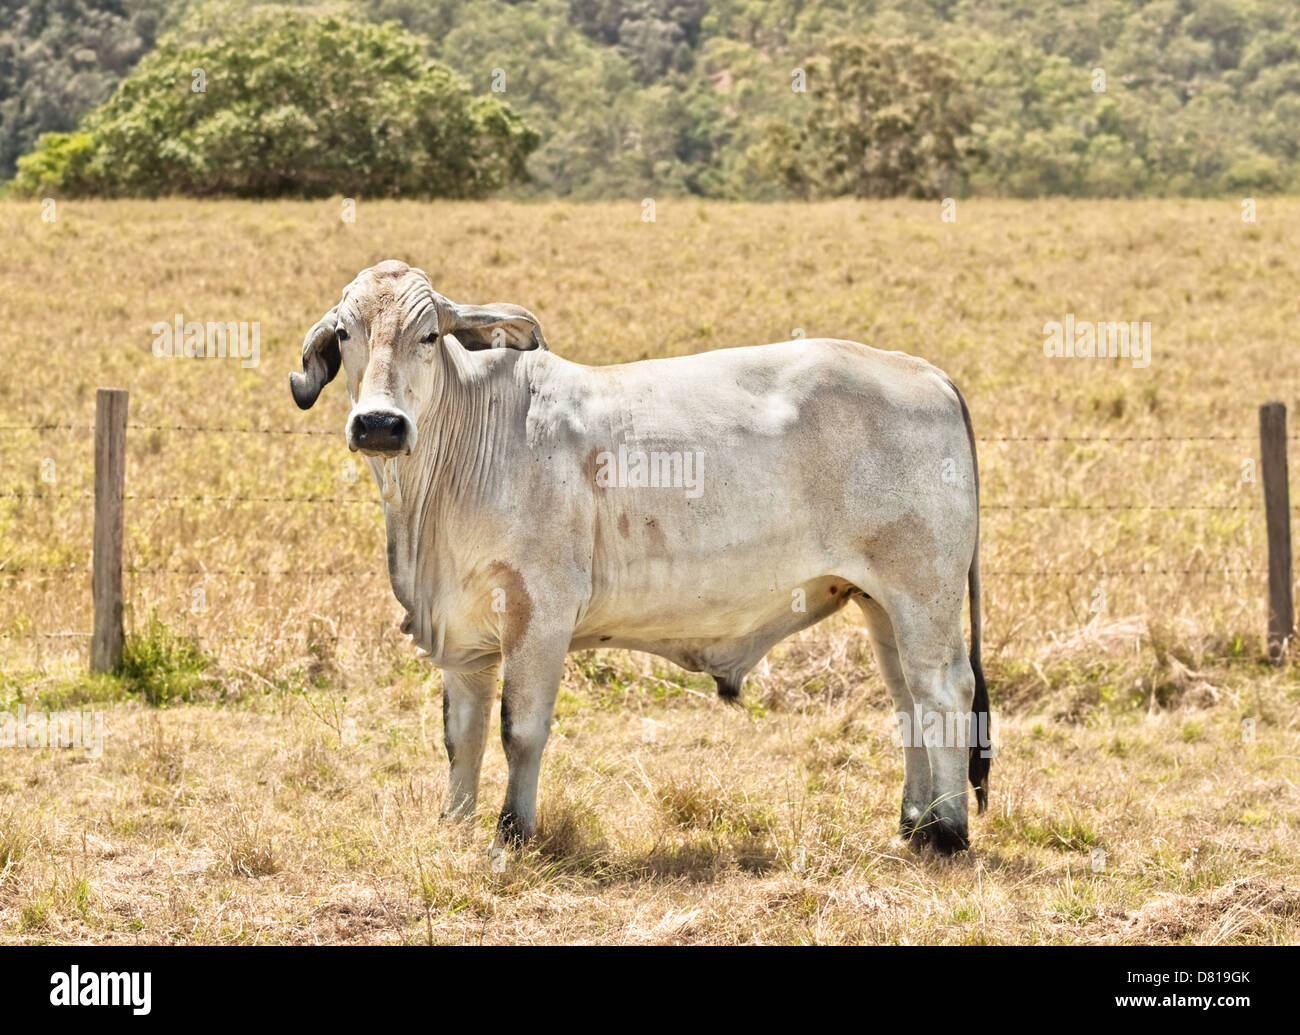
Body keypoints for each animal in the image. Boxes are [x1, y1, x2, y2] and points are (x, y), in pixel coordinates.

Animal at [290, 260, 990, 854]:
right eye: (346, 333)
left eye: (430, 335)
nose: (380, 424)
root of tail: (924, 371)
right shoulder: (463, 637)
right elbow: (460, 737)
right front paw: (455, 825)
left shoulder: (539, 612)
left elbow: (520, 730)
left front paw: (512, 834)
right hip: (880, 601)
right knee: (907, 699)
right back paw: (913, 823)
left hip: (923, 593)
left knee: (943, 691)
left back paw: (947, 832)